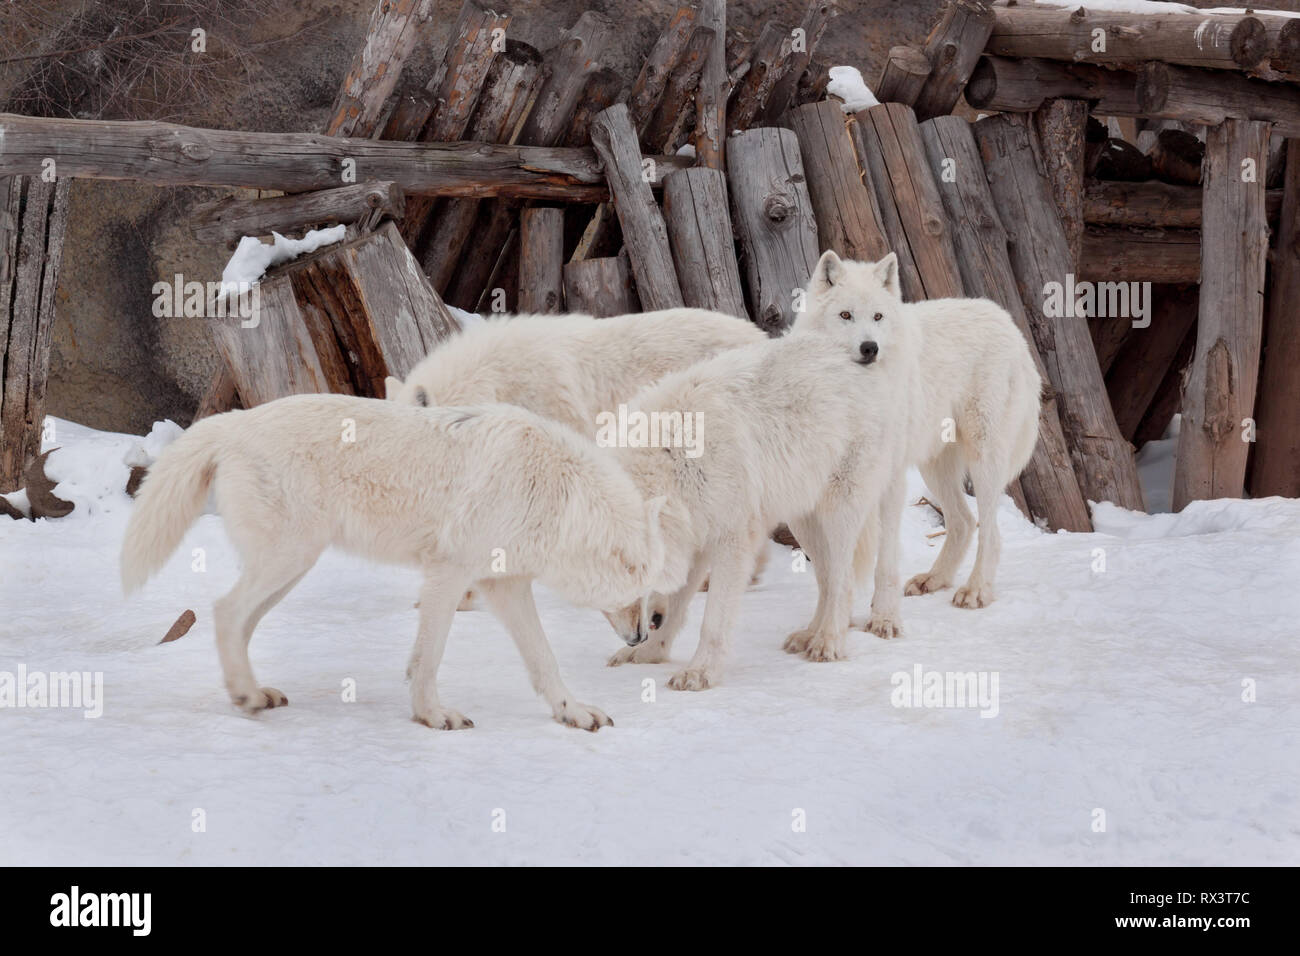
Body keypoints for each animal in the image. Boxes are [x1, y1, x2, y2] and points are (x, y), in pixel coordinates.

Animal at [119, 394, 676, 731]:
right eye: (636, 593)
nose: (641, 638)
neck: (557, 494)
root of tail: (233, 422)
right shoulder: (450, 573)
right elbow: (428, 658)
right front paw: (433, 717)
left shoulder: (505, 585)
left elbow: (544, 661)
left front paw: (573, 712)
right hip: (288, 560)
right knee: (224, 610)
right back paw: (247, 697)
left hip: (290, 570)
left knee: (236, 623)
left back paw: (252, 692)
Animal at [603, 327, 916, 689]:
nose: (633, 639)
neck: (673, 459)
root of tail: (864, 358)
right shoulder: (696, 538)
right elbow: (677, 606)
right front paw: (649, 654)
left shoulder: (731, 539)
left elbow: (712, 621)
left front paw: (700, 672)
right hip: (802, 520)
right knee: (826, 580)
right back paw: (809, 634)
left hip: (841, 507)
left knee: (845, 579)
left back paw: (829, 642)